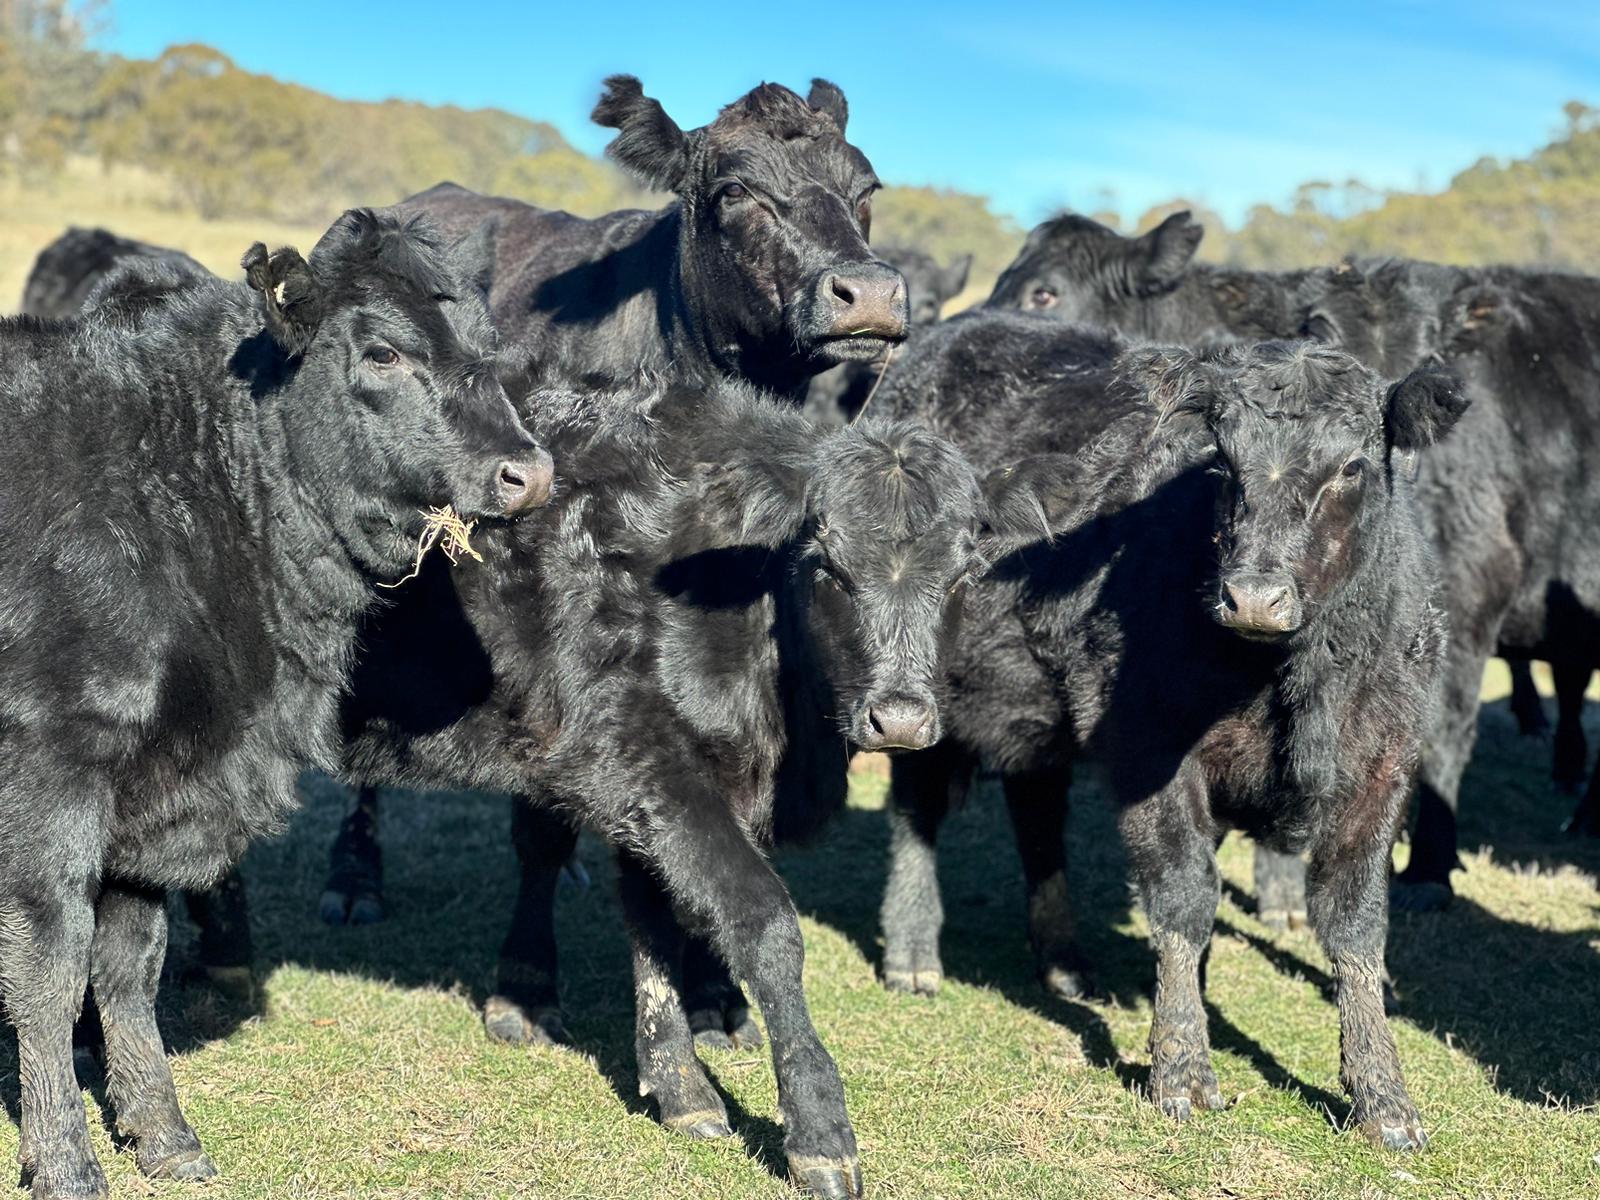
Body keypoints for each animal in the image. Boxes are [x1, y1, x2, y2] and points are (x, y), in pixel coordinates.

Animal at [0, 209, 548, 1200]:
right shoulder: (52, 782)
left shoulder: (161, 799)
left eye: (489, 353)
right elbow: (52, 974)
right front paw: (63, 1158)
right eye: (382, 353)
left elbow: (129, 966)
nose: (530, 471)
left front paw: (164, 1131)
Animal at [332, 376, 1041, 1197]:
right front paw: (819, 1129)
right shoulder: (638, 759)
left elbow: (654, 916)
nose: (898, 717)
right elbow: (763, 922)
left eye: (963, 573)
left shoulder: (655, 789)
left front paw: (680, 1084)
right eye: (828, 567)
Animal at [874, 310, 1466, 1148]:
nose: (1253, 597)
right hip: (919, 684)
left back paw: (1064, 959)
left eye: (1352, 466)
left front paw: (1384, 1095)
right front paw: (1182, 1064)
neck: (1288, 677)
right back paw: (913, 950)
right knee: (916, 802)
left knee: (1037, 813)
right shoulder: (1151, 750)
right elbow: (1184, 898)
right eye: (1223, 461)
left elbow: (1353, 924)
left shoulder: (1382, 764)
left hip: (1039, 704)